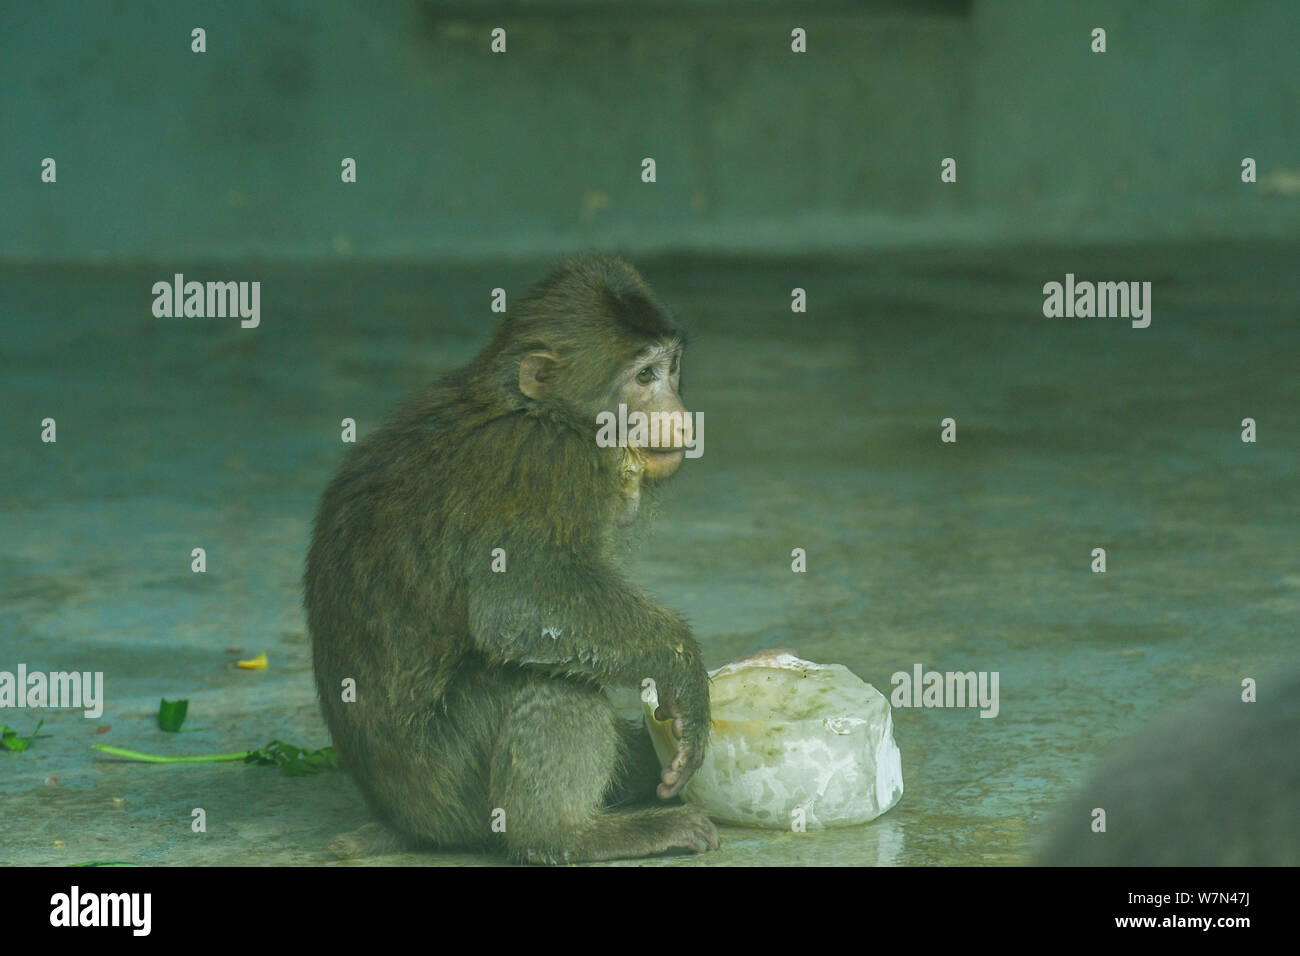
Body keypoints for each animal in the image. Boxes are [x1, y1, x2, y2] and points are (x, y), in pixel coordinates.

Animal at [304, 254, 718, 864]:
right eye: (643, 377)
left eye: (670, 368)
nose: (678, 411)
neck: (539, 412)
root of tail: (401, 818)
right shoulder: (546, 462)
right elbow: (519, 601)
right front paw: (682, 670)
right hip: (450, 781)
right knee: (548, 681)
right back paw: (567, 836)